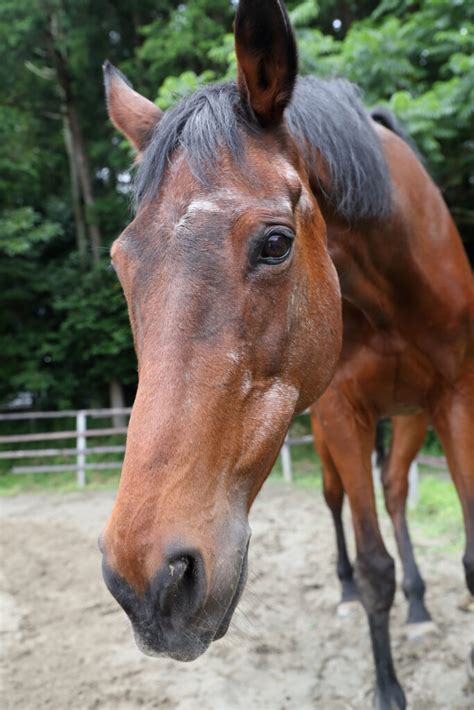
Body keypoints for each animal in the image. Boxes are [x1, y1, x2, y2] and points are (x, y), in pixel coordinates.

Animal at [99, 1, 474, 708]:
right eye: (121, 263)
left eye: (276, 243)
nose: (148, 583)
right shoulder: (342, 415)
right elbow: (374, 566)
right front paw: (388, 686)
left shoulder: (459, 400)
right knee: (342, 504)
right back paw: (352, 593)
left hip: (413, 418)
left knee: (396, 491)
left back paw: (418, 606)